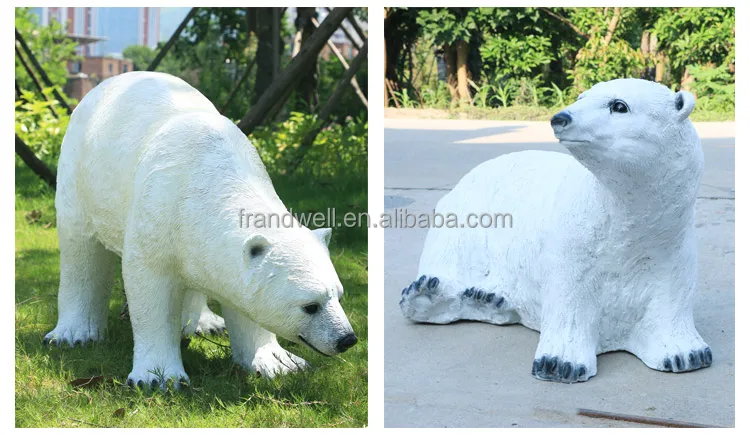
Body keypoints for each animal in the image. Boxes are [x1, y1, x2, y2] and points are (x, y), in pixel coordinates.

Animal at [44, 71, 358, 387]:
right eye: (310, 305)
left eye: (339, 295)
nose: (347, 339)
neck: (209, 176)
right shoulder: (157, 209)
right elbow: (151, 286)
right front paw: (158, 377)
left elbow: (241, 297)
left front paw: (278, 363)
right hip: (80, 175)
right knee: (80, 249)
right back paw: (73, 334)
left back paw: (205, 323)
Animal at [399, 78, 710, 383]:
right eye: (582, 97)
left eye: (619, 105)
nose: (560, 118)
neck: (627, 217)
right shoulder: (577, 232)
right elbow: (569, 292)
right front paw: (560, 362)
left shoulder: (671, 240)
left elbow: (673, 291)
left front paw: (686, 354)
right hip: (470, 211)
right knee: (450, 248)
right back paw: (428, 294)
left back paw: (490, 299)